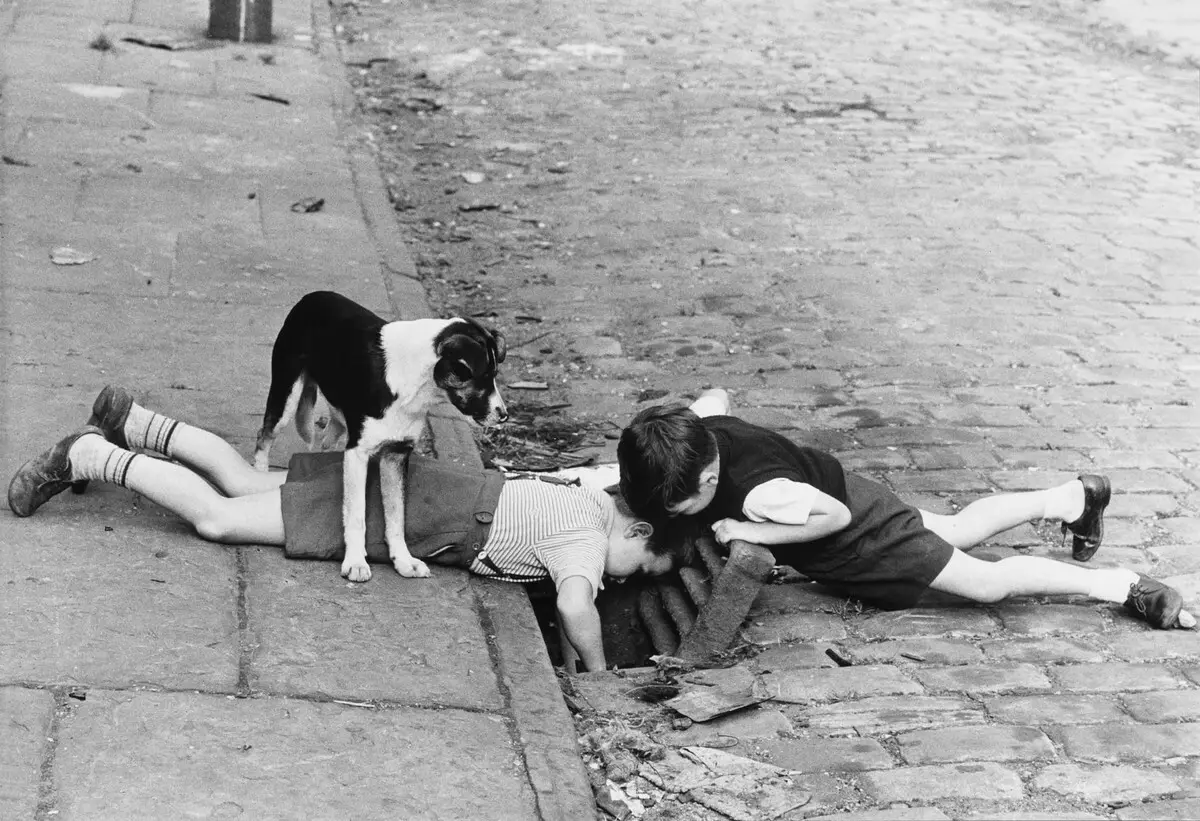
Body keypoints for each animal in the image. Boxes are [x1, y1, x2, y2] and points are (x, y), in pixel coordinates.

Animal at [256, 291, 506, 580]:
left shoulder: (395, 455)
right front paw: (355, 561)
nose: (504, 415)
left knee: (330, 433)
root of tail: (311, 297)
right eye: (482, 376)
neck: (413, 384)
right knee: (264, 435)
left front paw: (403, 560)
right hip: (285, 395)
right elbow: (356, 513)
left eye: (494, 375)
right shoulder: (358, 453)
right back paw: (260, 471)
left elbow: (397, 516)